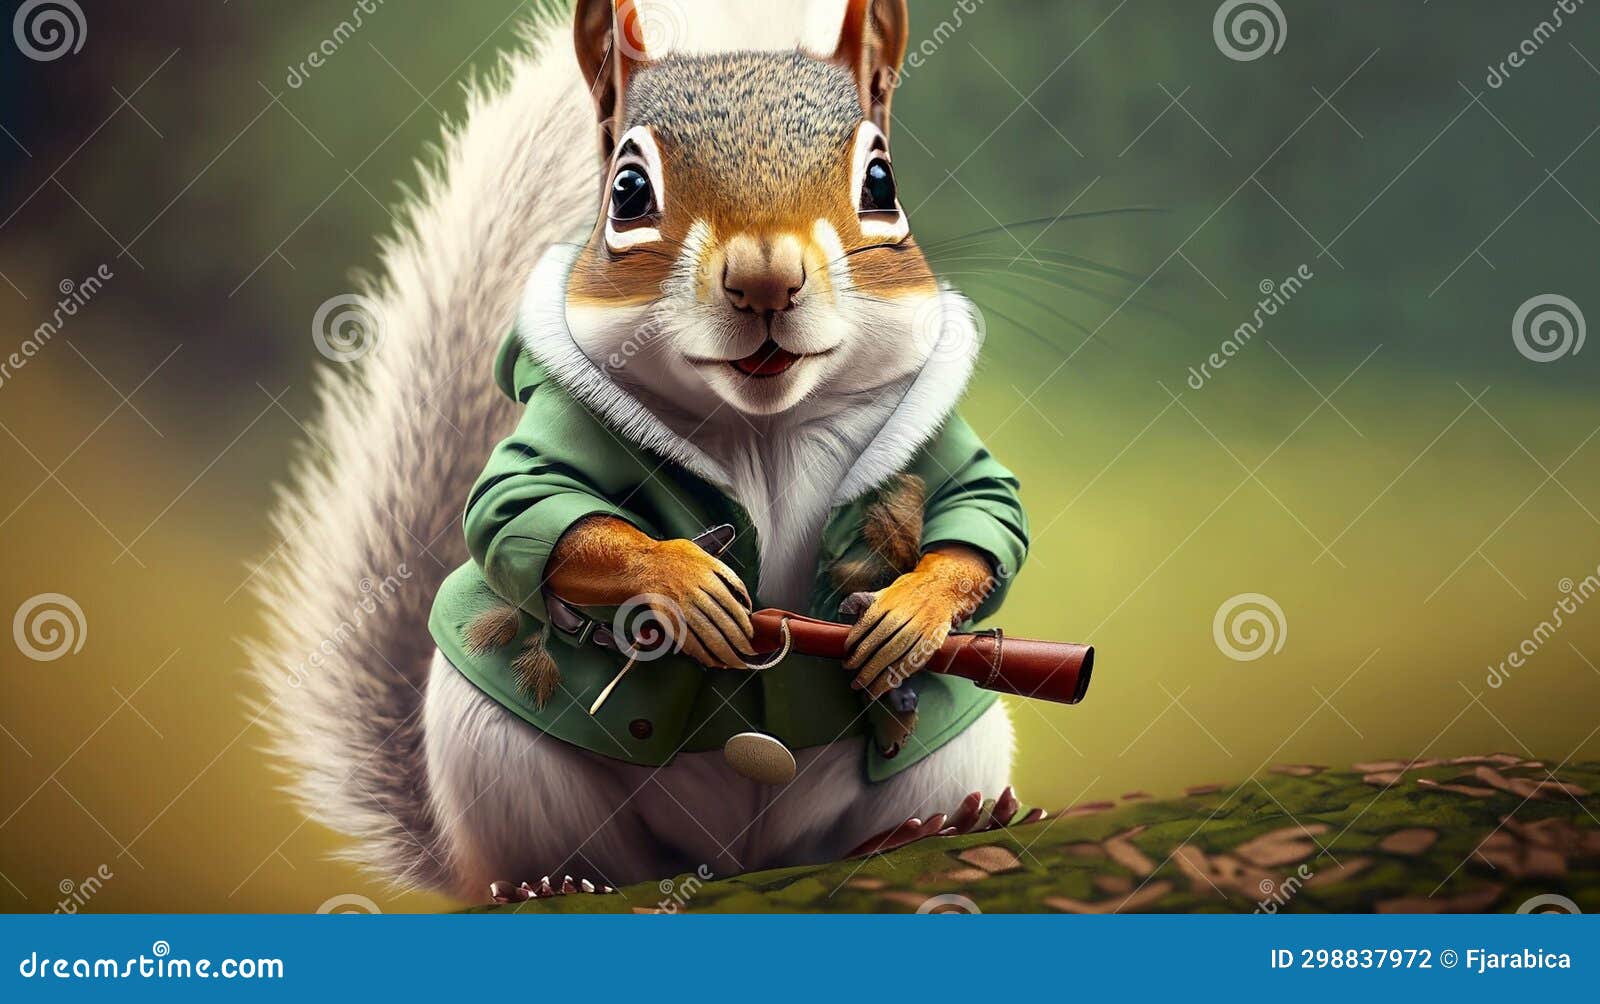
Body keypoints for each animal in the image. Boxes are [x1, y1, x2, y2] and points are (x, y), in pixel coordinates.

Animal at [251, 0, 1035, 903]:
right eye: (626, 192)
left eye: (882, 184)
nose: (765, 280)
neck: (763, 426)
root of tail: (739, 860)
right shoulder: (555, 432)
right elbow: (520, 506)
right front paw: (683, 582)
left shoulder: (935, 435)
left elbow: (985, 505)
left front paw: (912, 609)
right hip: (496, 745)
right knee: (579, 855)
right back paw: (550, 883)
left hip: (957, 744)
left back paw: (935, 826)